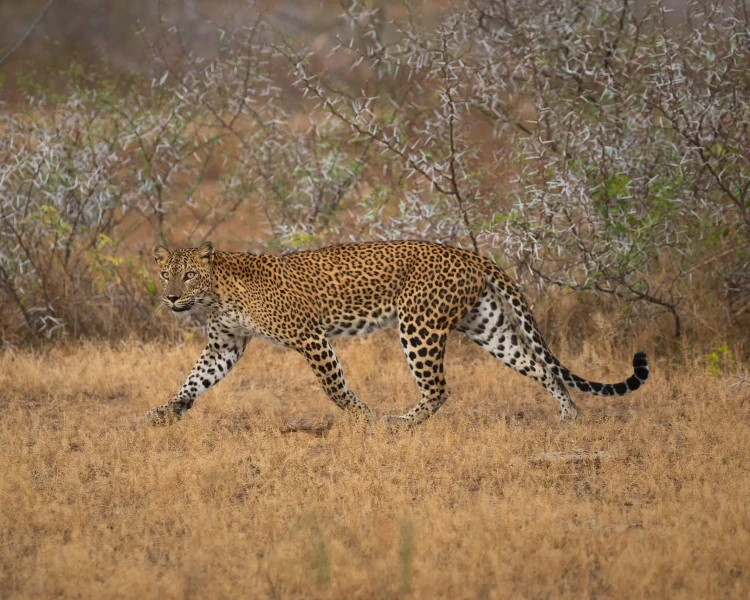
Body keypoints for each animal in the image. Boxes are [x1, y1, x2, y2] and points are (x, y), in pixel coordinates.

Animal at [145, 240, 650, 428]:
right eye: (166, 274)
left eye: (188, 275)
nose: (170, 298)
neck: (216, 294)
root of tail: (468, 253)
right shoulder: (224, 345)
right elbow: (195, 379)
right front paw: (166, 411)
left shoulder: (310, 337)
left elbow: (336, 388)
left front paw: (364, 418)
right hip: (486, 325)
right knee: (542, 368)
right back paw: (570, 417)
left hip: (418, 324)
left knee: (439, 389)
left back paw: (399, 423)